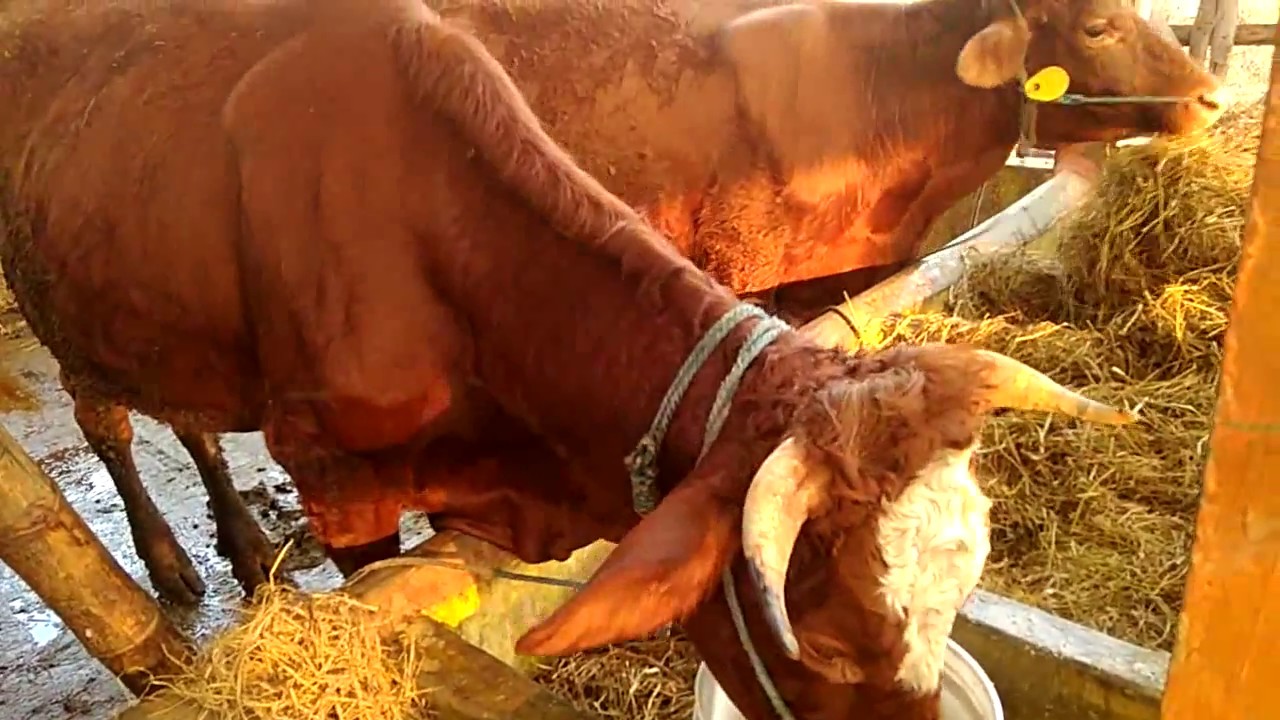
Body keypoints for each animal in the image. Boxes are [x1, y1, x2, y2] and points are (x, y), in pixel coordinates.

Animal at [0, 0, 1139, 717]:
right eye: (829, 643)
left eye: (965, 585)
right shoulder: (332, 474)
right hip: (54, 307)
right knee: (108, 424)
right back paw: (174, 562)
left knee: (189, 418)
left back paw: (239, 541)